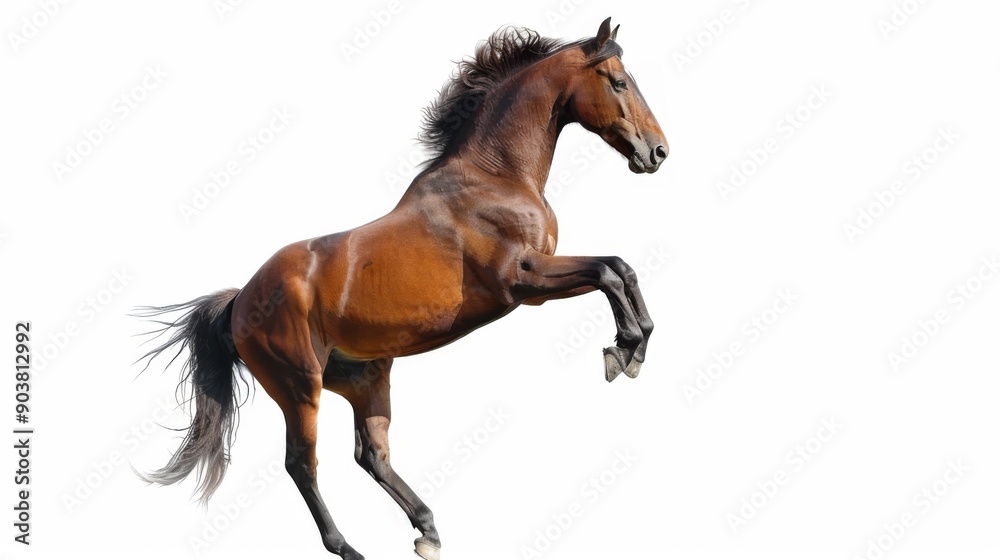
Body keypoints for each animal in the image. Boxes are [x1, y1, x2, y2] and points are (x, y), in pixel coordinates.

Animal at [136, 17, 667, 560]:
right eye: (618, 82)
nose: (657, 152)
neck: (495, 176)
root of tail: (240, 300)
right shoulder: (522, 280)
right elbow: (608, 272)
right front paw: (624, 352)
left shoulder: (537, 283)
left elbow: (621, 269)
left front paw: (634, 345)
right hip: (300, 386)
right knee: (303, 463)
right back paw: (349, 546)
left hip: (365, 378)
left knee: (371, 455)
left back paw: (427, 529)